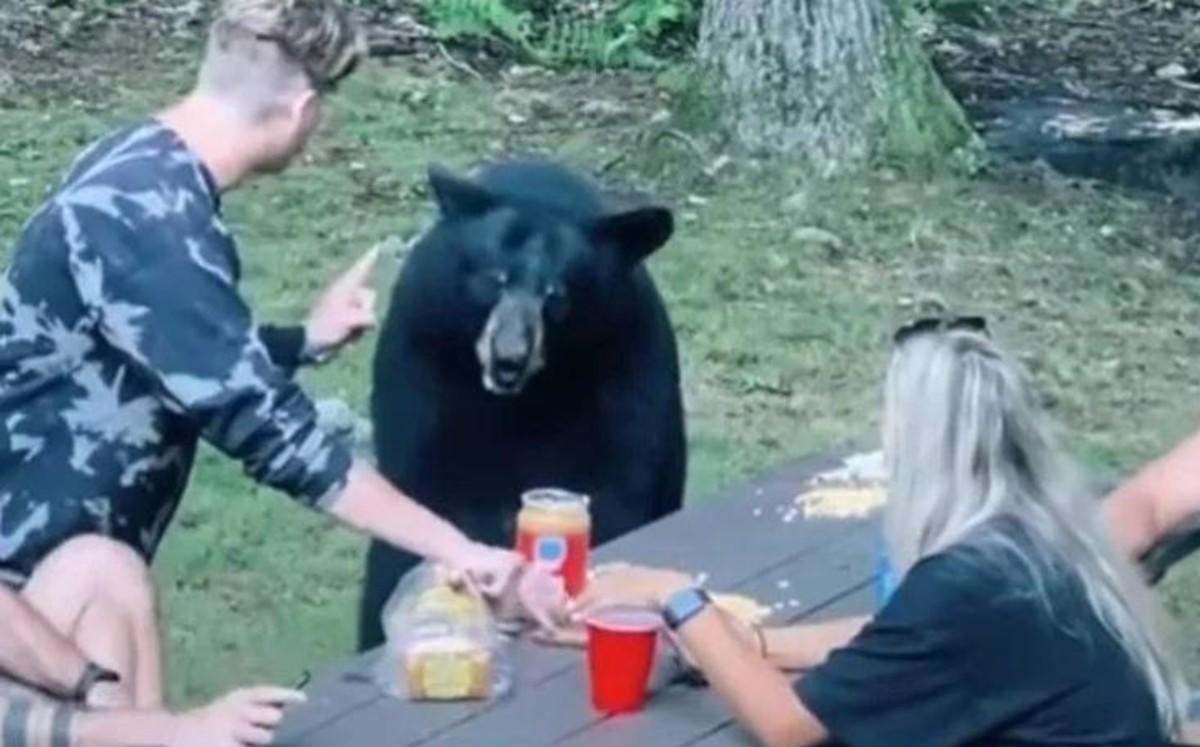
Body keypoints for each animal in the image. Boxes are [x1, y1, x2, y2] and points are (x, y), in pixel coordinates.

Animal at [357, 159, 686, 650]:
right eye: (494, 279)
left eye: (557, 294)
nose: (508, 359)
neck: (529, 398)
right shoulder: (422, 359)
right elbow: (426, 497)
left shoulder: (627, 367)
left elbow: (618, 491)